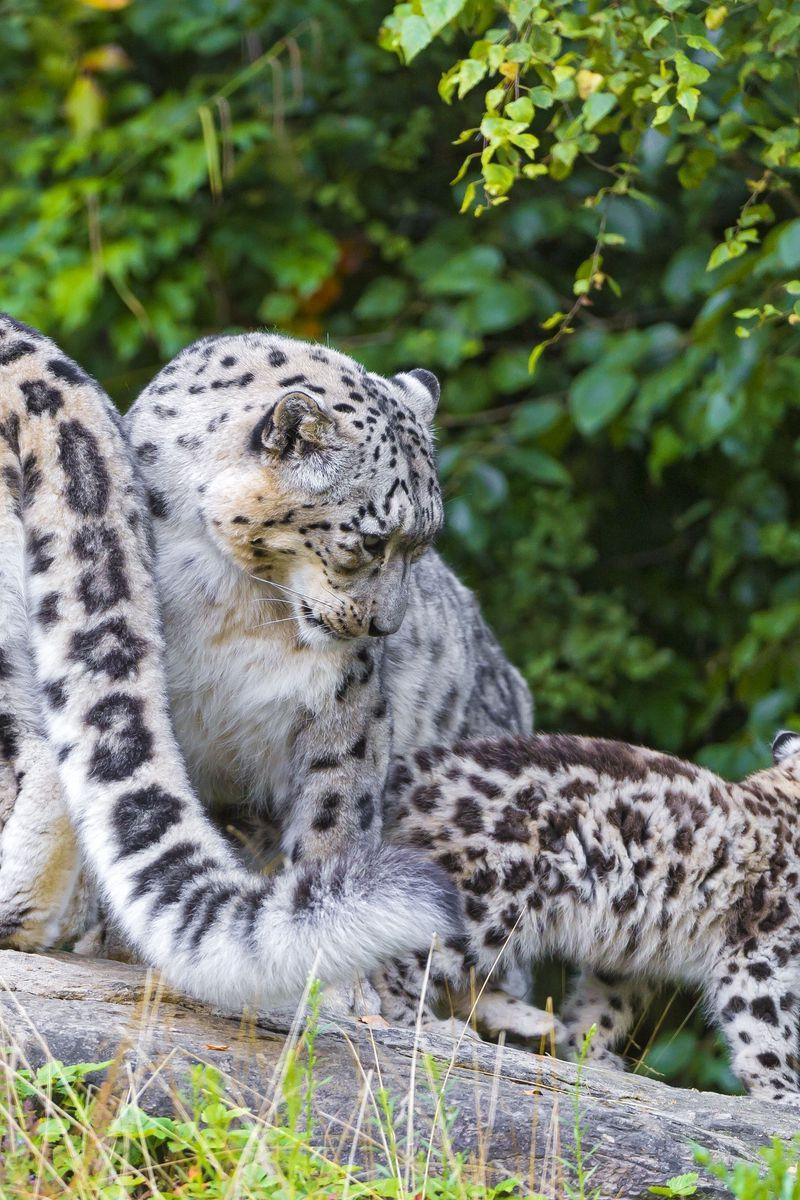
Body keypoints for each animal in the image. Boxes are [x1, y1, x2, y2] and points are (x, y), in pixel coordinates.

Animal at [0, 312, 466, 1010]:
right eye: (369, 541)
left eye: (423, 542)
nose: (386, 626)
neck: (245, 608)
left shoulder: (349, 702)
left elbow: (335, 816)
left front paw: (341, 987)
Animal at [372, 729, 800, 1103]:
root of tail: (410, 771)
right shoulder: (762, 952)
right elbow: (766, 1024)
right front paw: (783, 1094)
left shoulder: (630, 955)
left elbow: (604, 1003)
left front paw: (588, 1052)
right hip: (486, 901)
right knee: (402, 959)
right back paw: (424, 1024)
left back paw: (533, 1021)